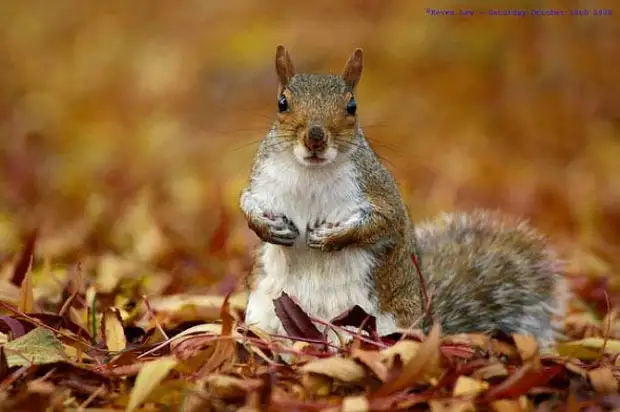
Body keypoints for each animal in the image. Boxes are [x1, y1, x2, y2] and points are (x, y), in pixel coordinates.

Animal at [240, 45, 568, 348]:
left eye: (352, 106)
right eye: (282, 103)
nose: (315, 137)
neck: (311, 172)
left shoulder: (379, 192)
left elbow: (382, 222)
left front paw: (331, 238)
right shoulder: (262, 183)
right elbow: (247, 204)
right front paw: (265, 227)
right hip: (263, 311)